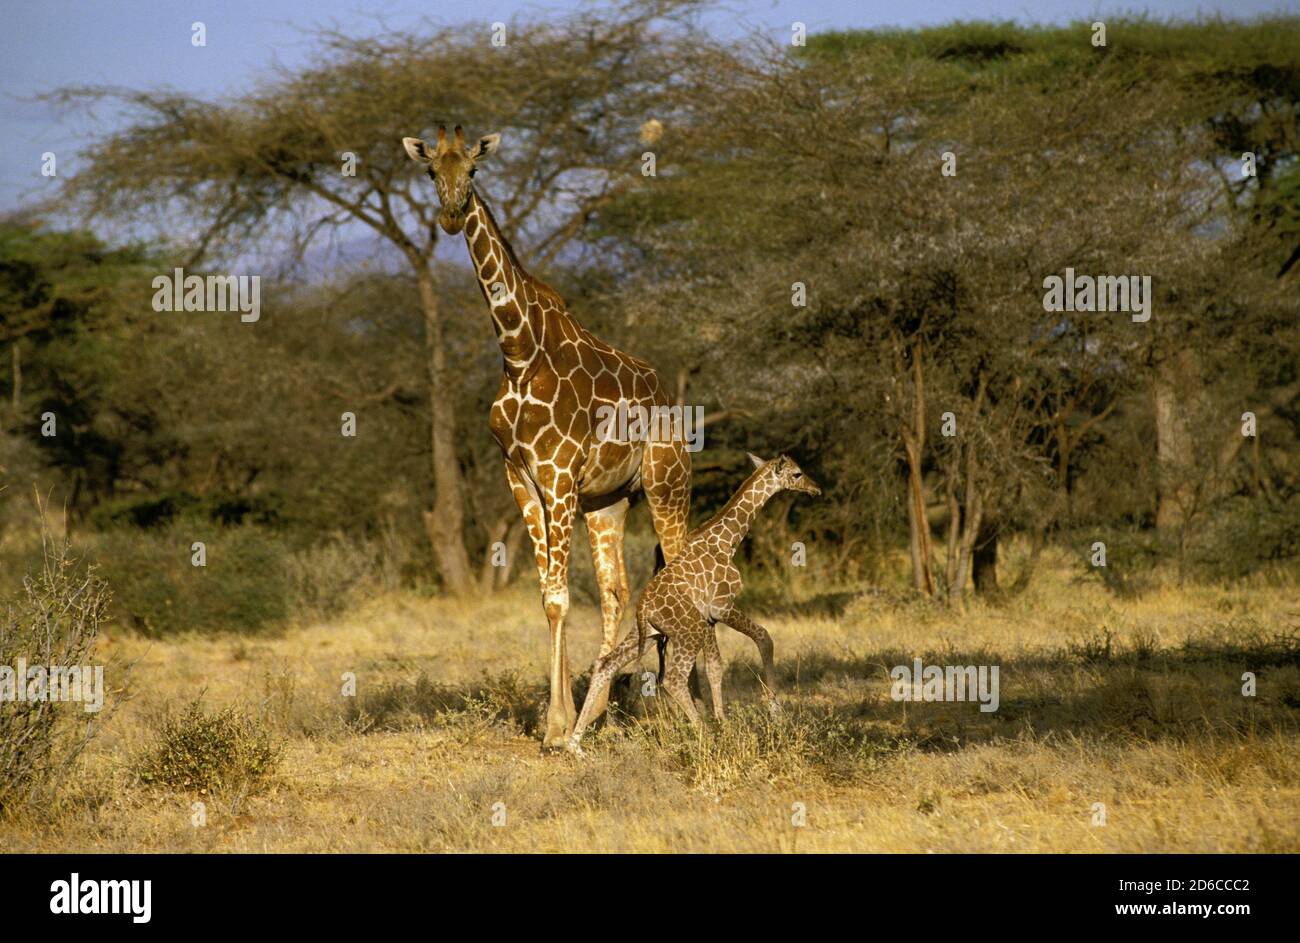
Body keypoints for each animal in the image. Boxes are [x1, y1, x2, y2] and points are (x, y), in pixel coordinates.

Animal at [402, 125, 692, 751]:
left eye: (474, 169)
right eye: (432, 170)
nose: (451, 215)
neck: (518, 353)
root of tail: (671, 398)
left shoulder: (558, 476)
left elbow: (559, 597)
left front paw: (557, 729)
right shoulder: (523, 478)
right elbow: (548, 597)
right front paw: (560, 721)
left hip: (666, 484)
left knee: (678, 574)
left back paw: (681, 707)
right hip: (609, 501)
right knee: (616, 591)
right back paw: (602, 708)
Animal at [568, 453, 821, 754]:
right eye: (797, 474)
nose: (816, 489)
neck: (727, 541)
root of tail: (643, 608)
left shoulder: (709, 617)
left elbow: (715, 667)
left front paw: (724, 722)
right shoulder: (722, 607)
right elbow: (764, 637)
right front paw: (775, 713)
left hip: (652, 634)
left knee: (606, 663)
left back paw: (575, 744)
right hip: (688, 630)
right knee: (673, 678)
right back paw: (704, 735)